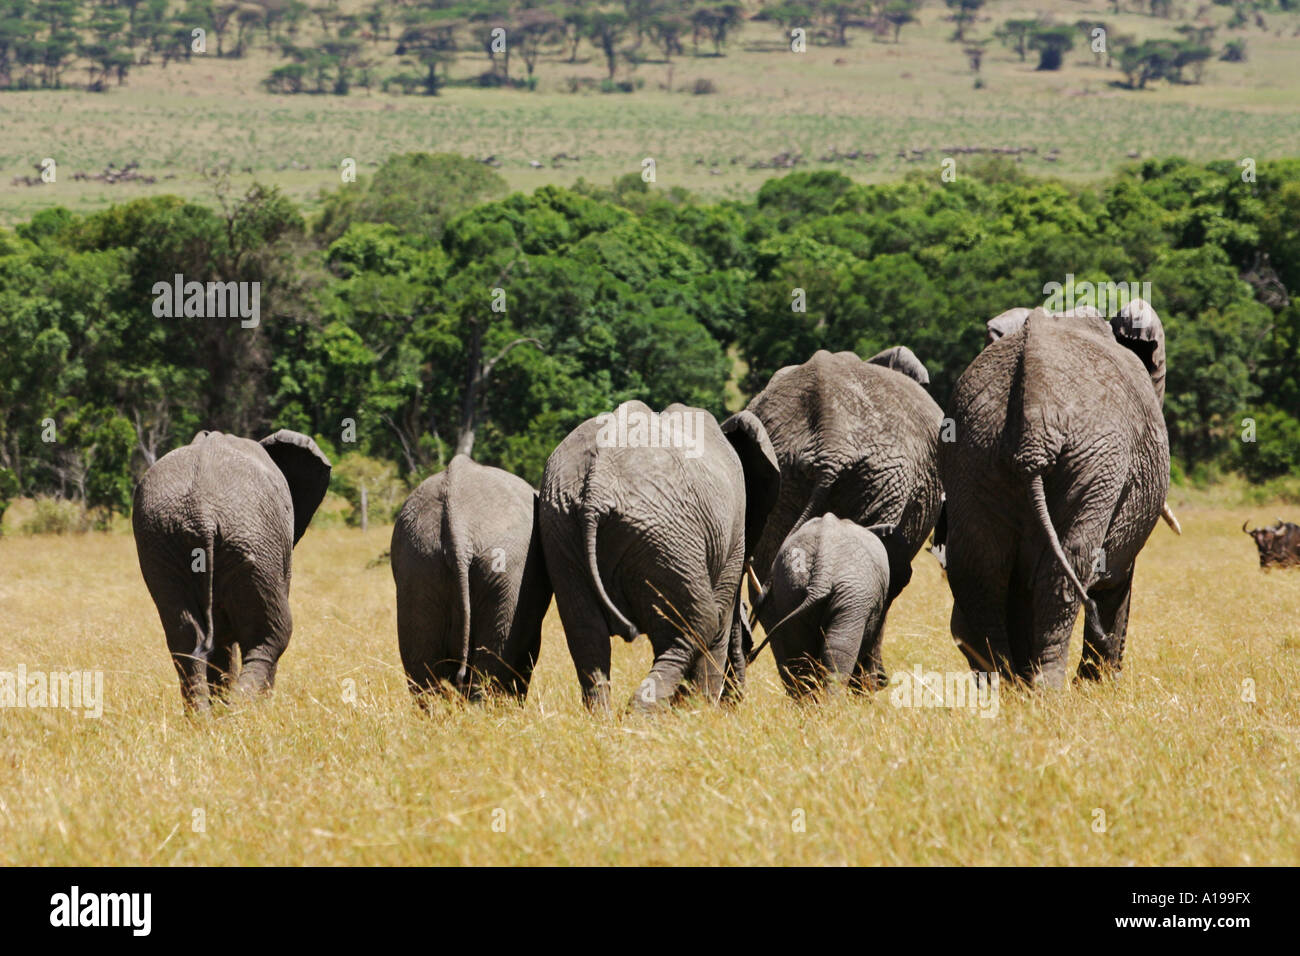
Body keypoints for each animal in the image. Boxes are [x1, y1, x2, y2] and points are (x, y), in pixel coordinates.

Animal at [132, 429, 331, 711]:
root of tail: (201, 511)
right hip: (253, 541)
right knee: (269, 634)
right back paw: (246, 712)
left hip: (162, 543)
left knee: (186, 638)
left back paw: (204, 717)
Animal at [538, 400, 779, 711]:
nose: (735, 703)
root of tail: (596, 487)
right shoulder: (735, 532)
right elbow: (720, 623)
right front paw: (702, 713)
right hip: (665, 538)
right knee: (700, 622)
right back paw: (643, 713)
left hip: (561, 527)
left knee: (586, 634)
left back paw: (604, 718)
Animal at [749, 514, 893, 697]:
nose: (885, 680)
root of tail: (822, 572)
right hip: (853, 596)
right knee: (838, 652)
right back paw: (833, 704)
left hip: (791, 588)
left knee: (800, 656)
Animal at [939, 306, 1170, 688]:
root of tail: (1034, 410)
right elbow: (1117, 576)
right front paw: (1100, 685)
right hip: (1097, 463)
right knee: (1069, 564)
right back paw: (1049, 686)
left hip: (973, 450)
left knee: (980, 566)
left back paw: (1006, 685)